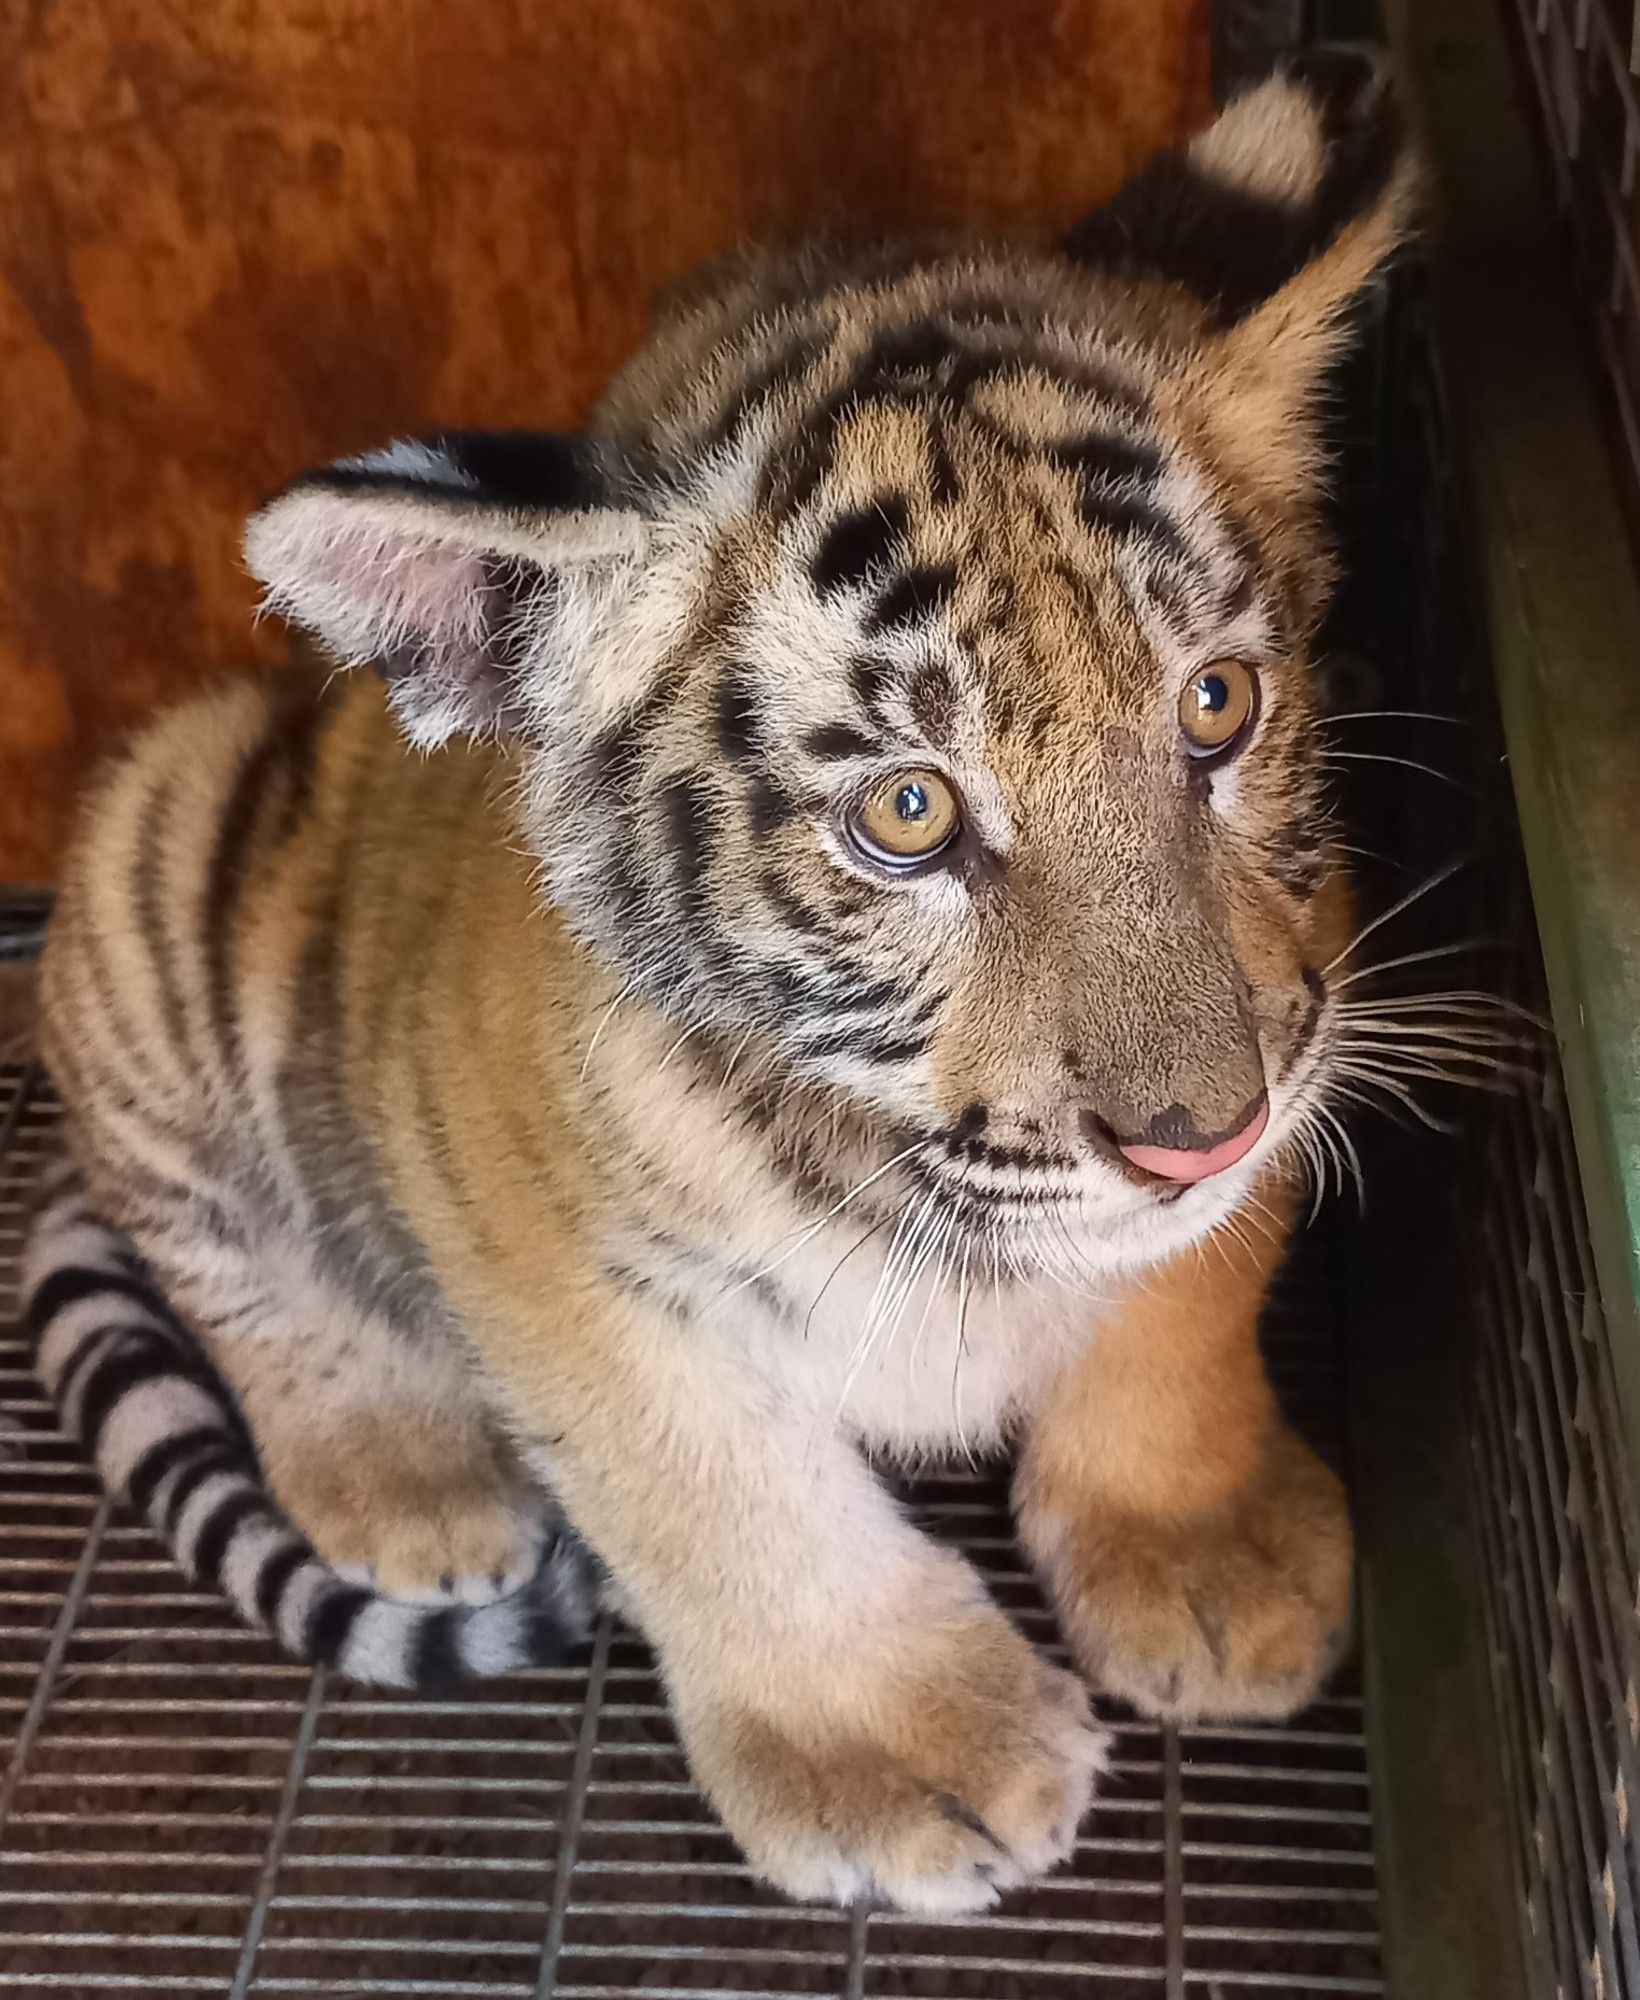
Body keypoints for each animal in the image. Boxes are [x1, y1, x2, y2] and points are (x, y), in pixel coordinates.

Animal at [23, 54, 1412, 1912]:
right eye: (908, 812)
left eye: (1215, 706)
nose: (1196, 1138)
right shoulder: (524, 1225)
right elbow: (711, 1487)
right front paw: (906, 1753)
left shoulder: (1307, 986)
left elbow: (1186, 1291)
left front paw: (1209, 1556)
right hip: (156, 846)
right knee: (222, 1249)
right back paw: (411, 1483)